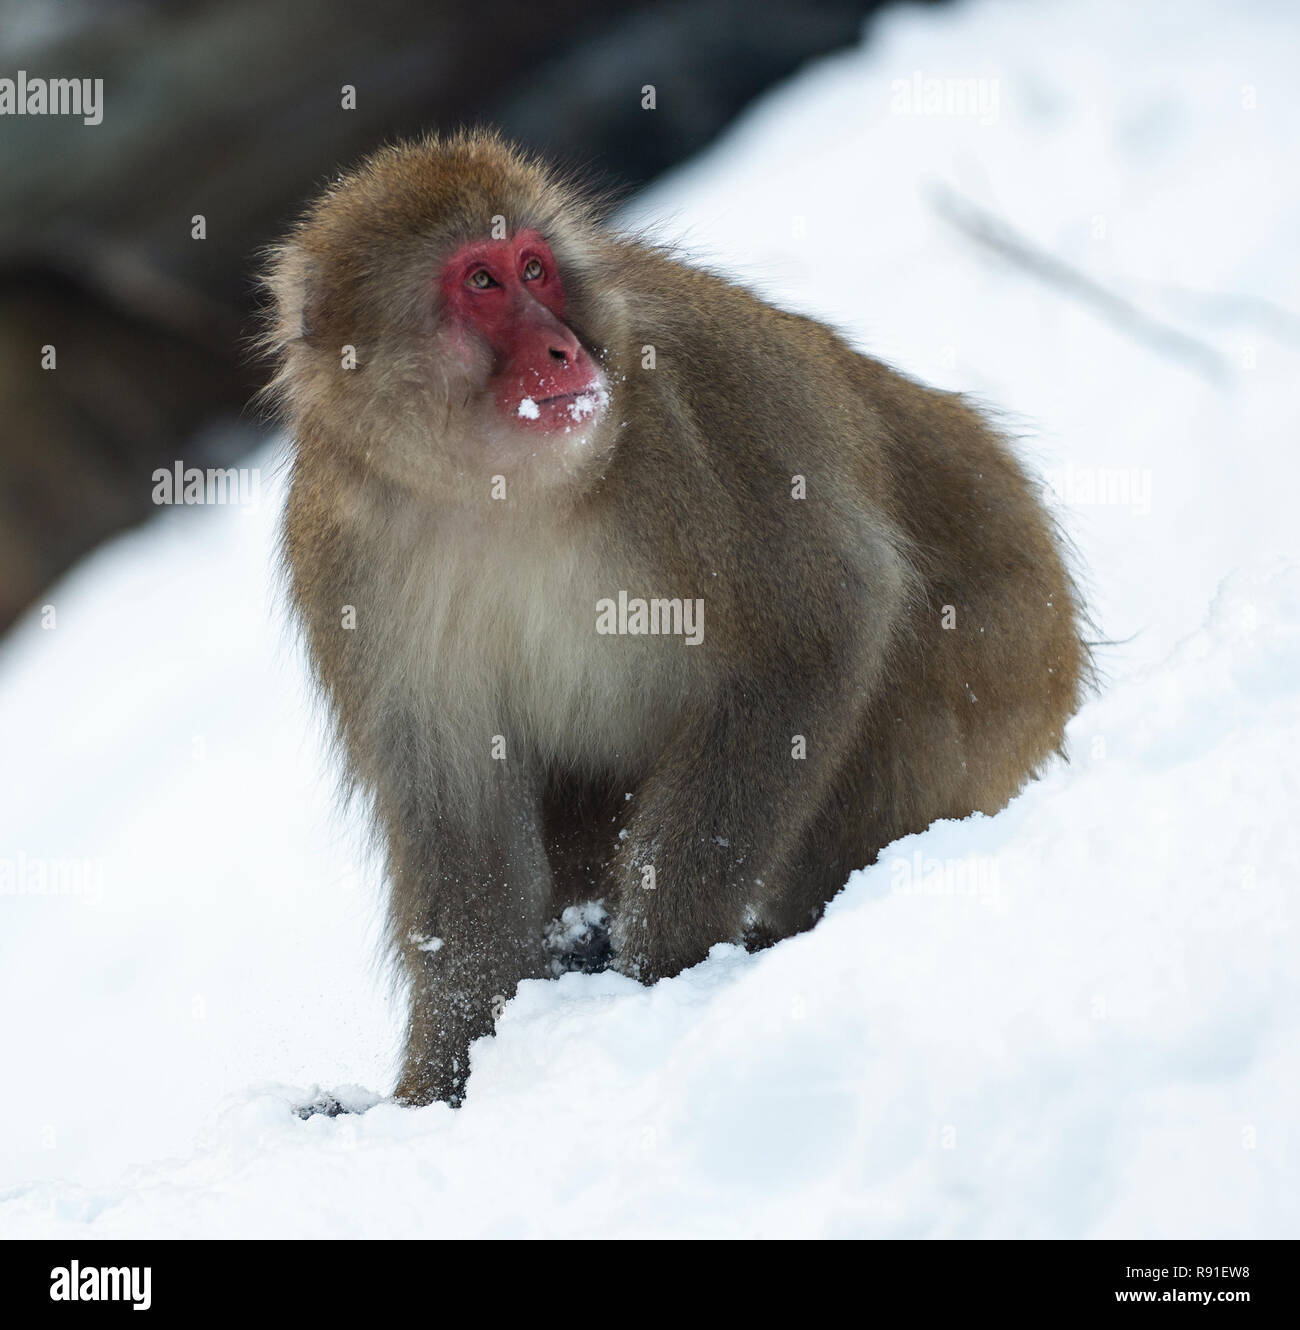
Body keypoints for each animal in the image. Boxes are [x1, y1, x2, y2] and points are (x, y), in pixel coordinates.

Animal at [262, 129, 1088, 1107]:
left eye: (535, 268)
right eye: (482, 282)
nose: (562, 352)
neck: (501, 492)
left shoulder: (684, 422)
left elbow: (815, 630)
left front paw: (661, 973)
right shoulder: (344, 563)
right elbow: (459, 819)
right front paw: (439, 1090)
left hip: (1010, 667)